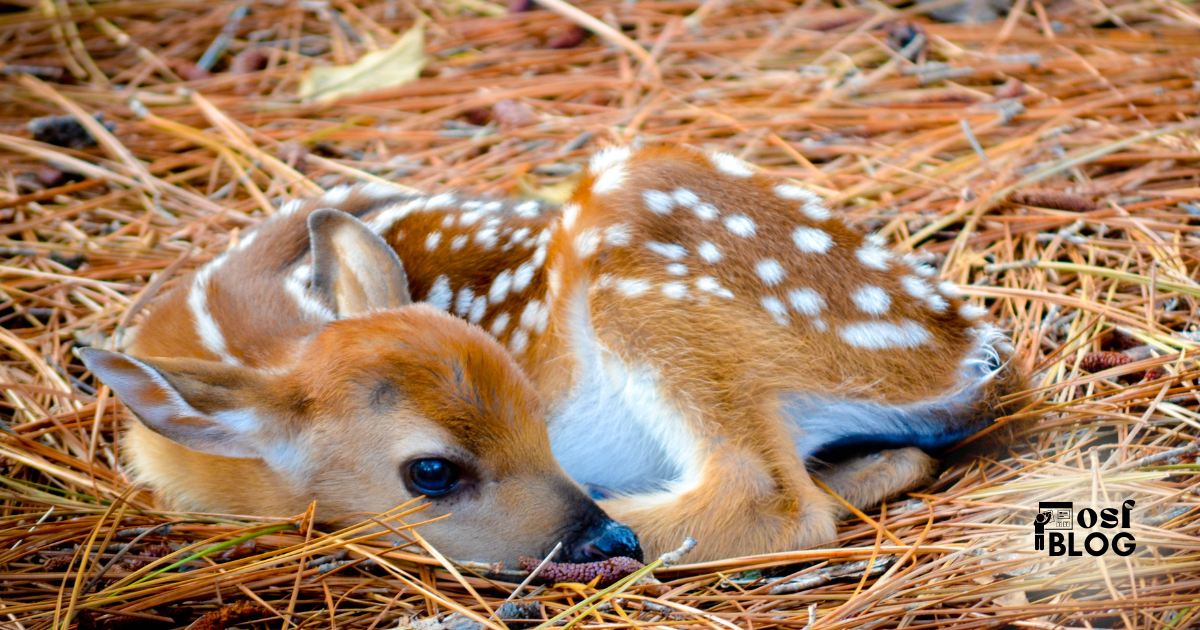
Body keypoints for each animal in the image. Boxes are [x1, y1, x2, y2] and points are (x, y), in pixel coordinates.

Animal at [84, 143, 1026, 565]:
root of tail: (967, 345)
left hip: (645, 263)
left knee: (775, 501)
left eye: (538, 410)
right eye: (432, 472)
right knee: (881, 464)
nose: (589, 527)